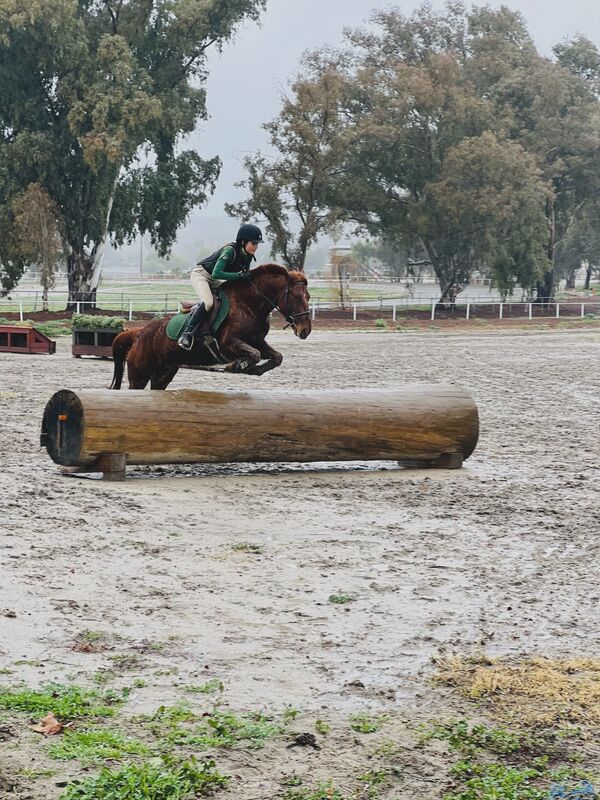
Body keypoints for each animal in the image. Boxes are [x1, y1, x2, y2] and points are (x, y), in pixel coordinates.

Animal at [110, 264, 312, 390]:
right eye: (295, 297)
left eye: (308, 296)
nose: (305, 330)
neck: (249, 304)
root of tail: (138, 332)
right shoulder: (228, 344)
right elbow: (254, 355)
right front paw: (236, 366)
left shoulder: (258, 341)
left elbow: (276, 357)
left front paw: (254, 370)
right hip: (140, 374)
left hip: (165, 371)